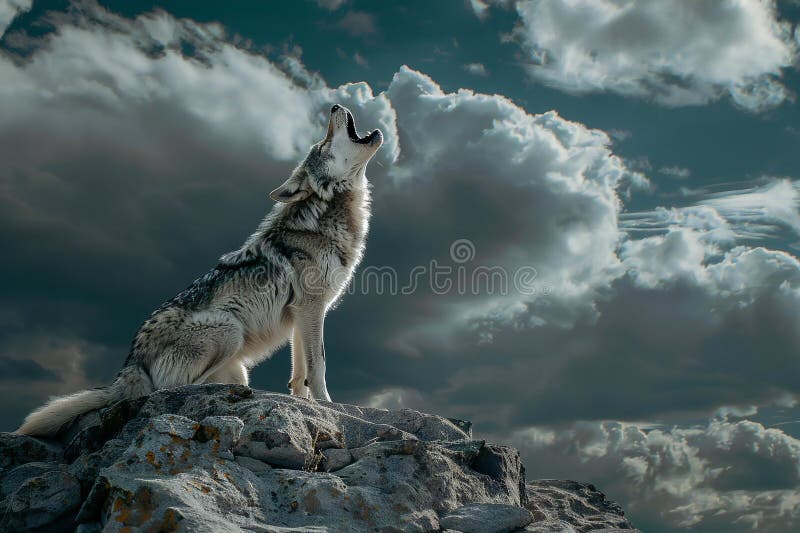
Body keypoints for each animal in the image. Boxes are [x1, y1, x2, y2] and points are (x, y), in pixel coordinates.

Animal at [17, 105, 382, 437]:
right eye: (322, 145)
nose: (334, 106)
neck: (327, 218)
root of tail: (131, 363)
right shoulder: (310, 308)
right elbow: (318, 364)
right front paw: (329, 405)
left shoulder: (300, 316)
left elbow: (299, 373)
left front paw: (305, 402)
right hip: (229, 329)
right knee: (175, 389)